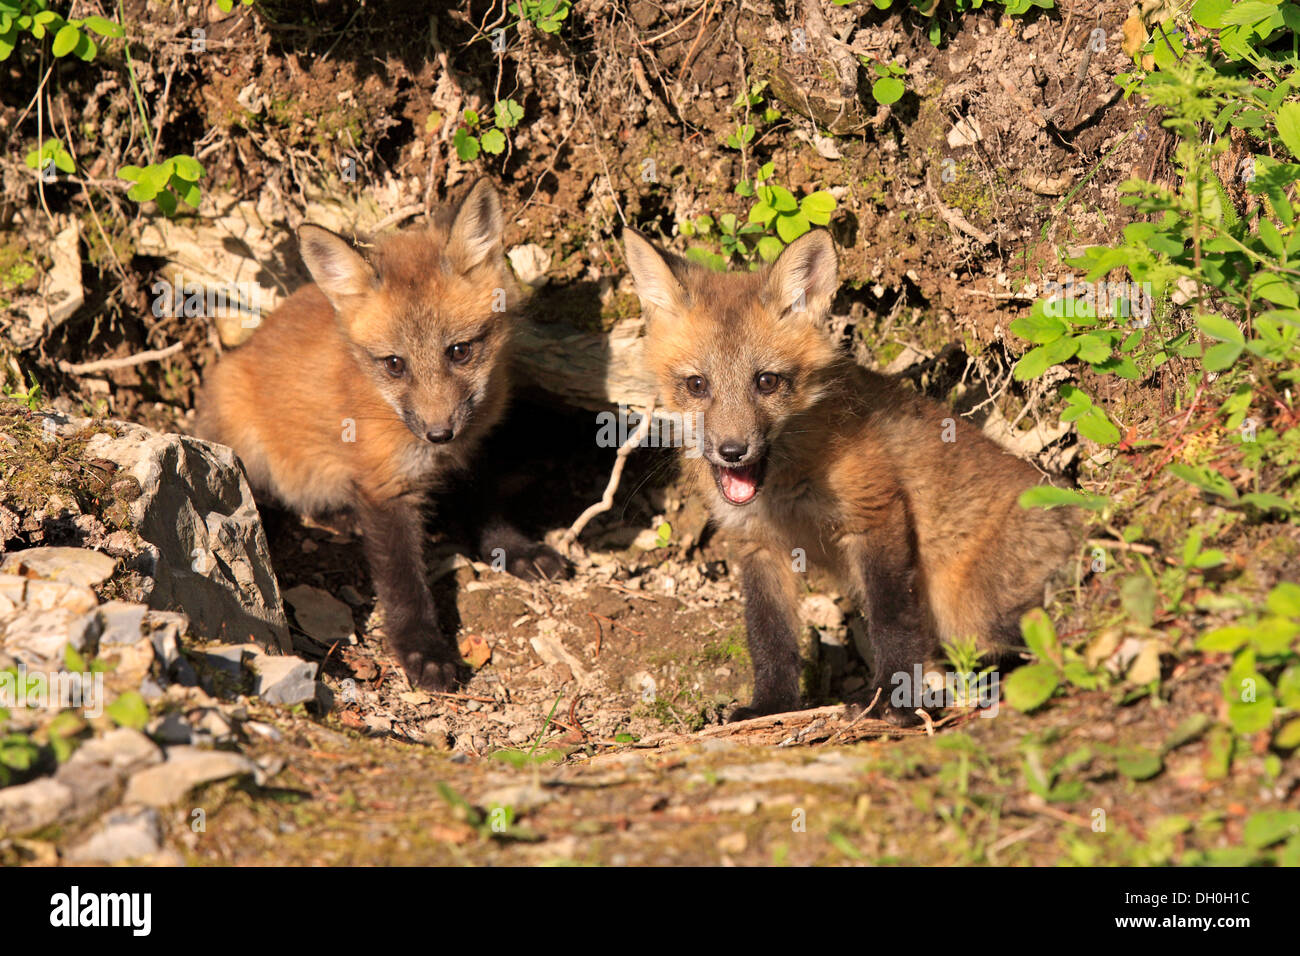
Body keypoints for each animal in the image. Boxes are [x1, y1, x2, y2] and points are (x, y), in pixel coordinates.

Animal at [196, 179, 566, 692]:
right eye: (394, 364)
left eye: (460, 351)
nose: (438, 433)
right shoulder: (384, 485)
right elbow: (404, 584)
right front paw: (424, 651)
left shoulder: (476, 446)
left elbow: (491, 507)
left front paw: (515, 551)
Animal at [623, 226, 1075, 725]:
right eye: (697, 385)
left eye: (767, 382)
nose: (733, 452)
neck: (786, 491)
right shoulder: (758, 544)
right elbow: (768, 637)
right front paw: (770, 706)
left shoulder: (875, 513)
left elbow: (891, 619)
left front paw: (890, 699)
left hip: (970, 610)